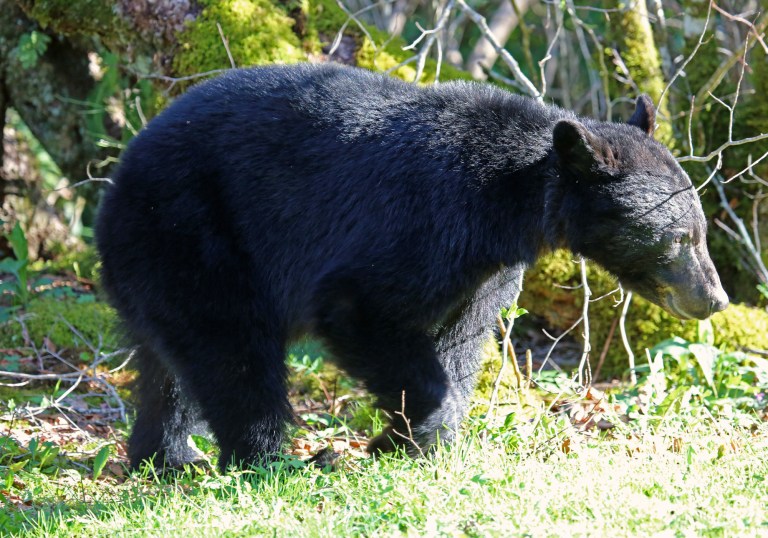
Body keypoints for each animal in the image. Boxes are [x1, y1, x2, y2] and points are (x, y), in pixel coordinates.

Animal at [95, 63, 728, 472]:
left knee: (170, 368)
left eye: (699, 231)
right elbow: (360, 307)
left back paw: (166, 456)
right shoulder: (422, 219)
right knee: (232, 353)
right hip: (197, 235)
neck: (511, 197)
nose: (715, 298)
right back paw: (273, 459)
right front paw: (403, 436)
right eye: (680, 238)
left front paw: (419, 442)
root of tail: (117, 179)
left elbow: (463, 337)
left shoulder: (487, 268)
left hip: (159, 263)